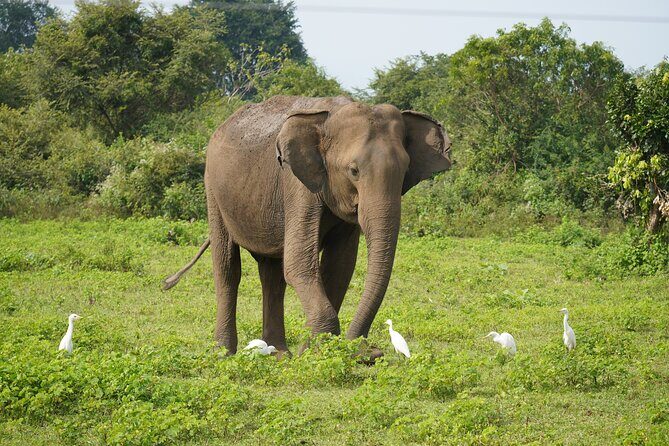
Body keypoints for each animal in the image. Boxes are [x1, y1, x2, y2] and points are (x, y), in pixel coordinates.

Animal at [163, 95, 451, 355]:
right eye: (354, 171)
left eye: (404, 172)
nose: (370, 353)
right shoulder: (296, 184)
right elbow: (299, 263)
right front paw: (315, 352)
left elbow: (340, 267)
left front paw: (315, 350)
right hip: (213, 188)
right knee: (227, 268)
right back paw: (223, 353)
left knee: (272, 274)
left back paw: (279, 353)